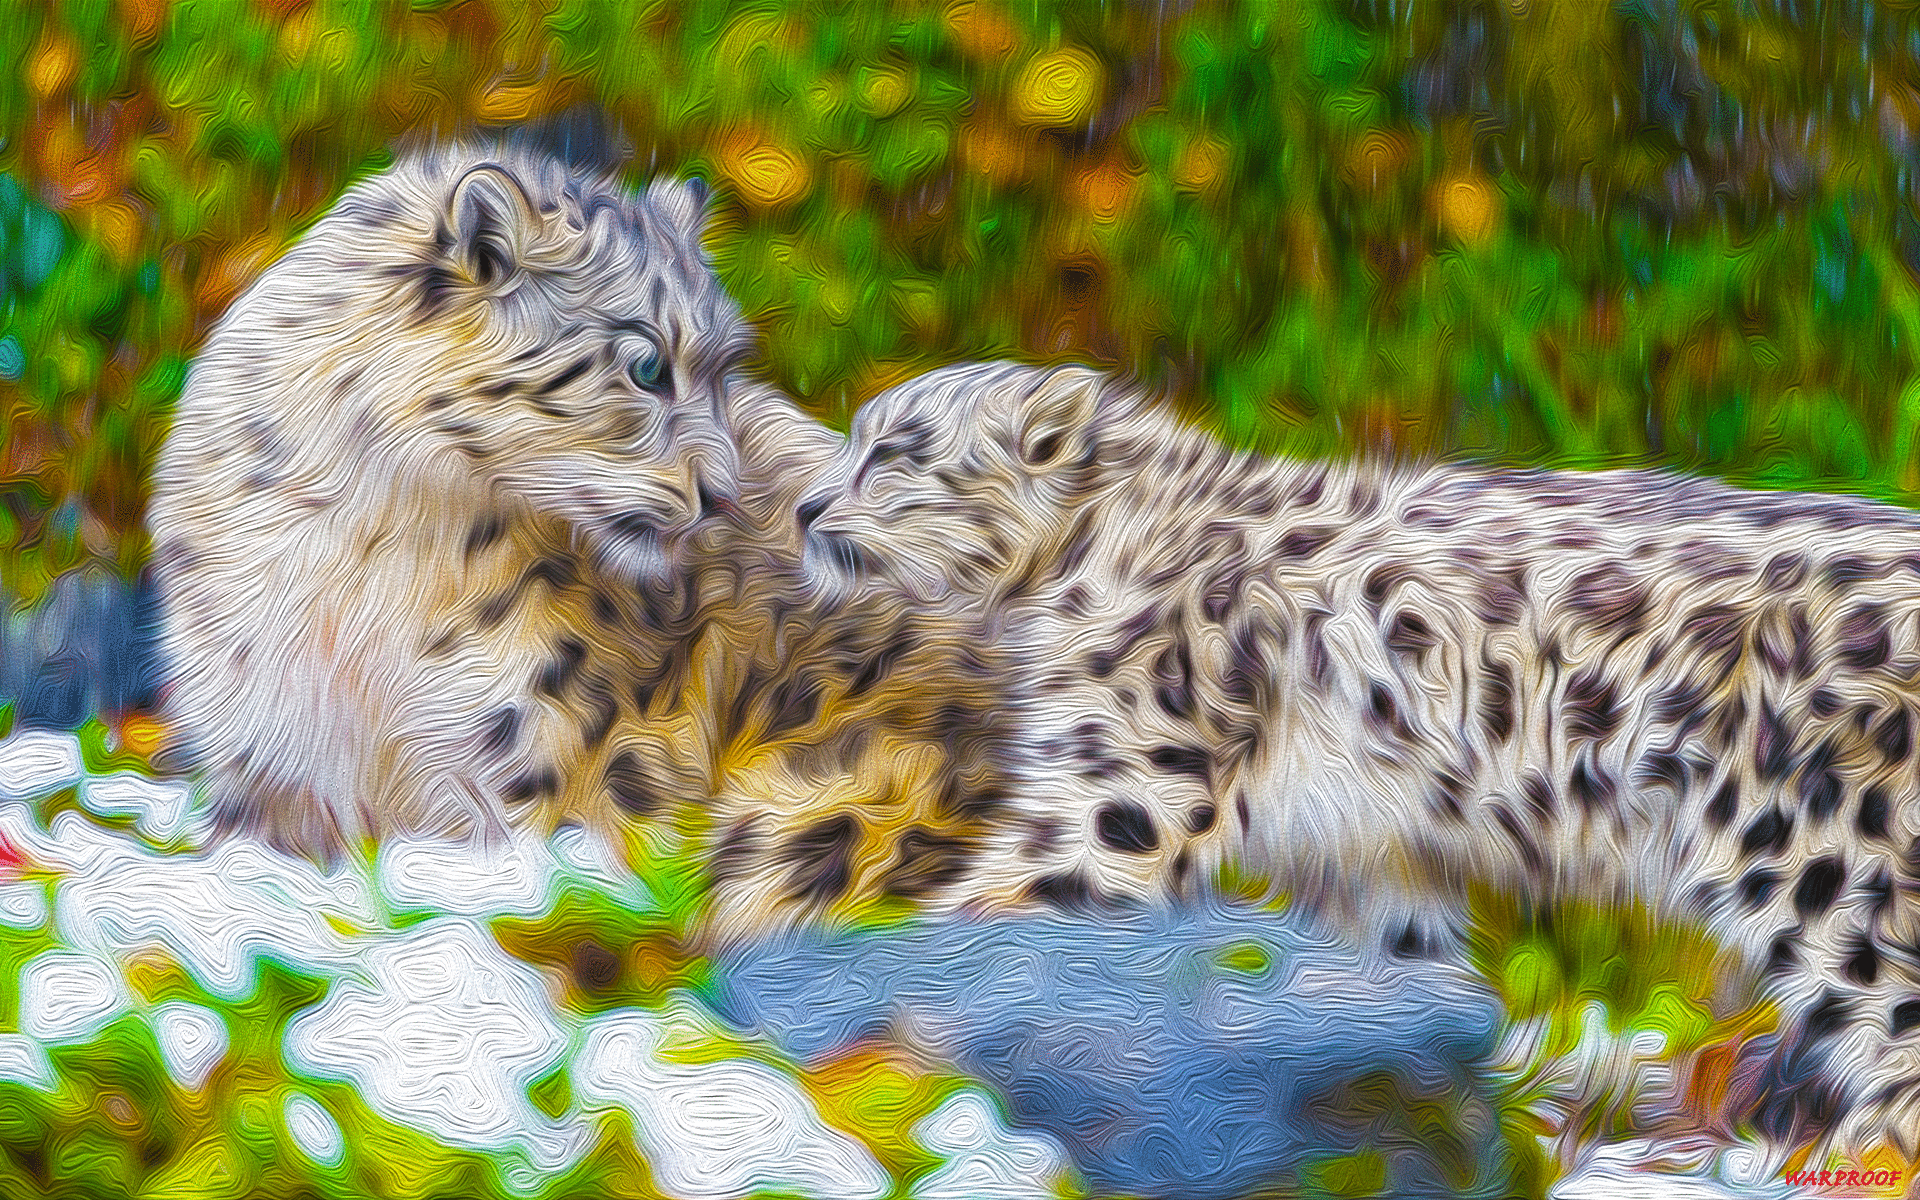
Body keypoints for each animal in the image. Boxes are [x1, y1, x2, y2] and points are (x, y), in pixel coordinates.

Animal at [795, 359, 1920, 1174]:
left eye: (895, 455)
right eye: (853, 441)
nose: (804, 509)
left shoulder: (1115, 792)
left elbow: (994, 906)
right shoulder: (1369, 858)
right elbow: (1404, 973)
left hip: (1824, 860)